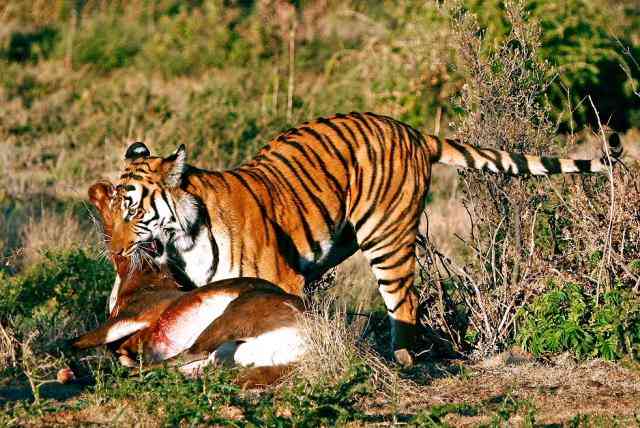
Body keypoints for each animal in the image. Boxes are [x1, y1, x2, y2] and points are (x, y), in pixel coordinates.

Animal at [109, 111, 622, 366]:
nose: (114, 250)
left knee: (405, 302)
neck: (185, 241)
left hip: (387, 240)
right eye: (109, 211)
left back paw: (402, 358)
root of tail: (412, 130)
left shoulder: (280, 280)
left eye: (132, 210)